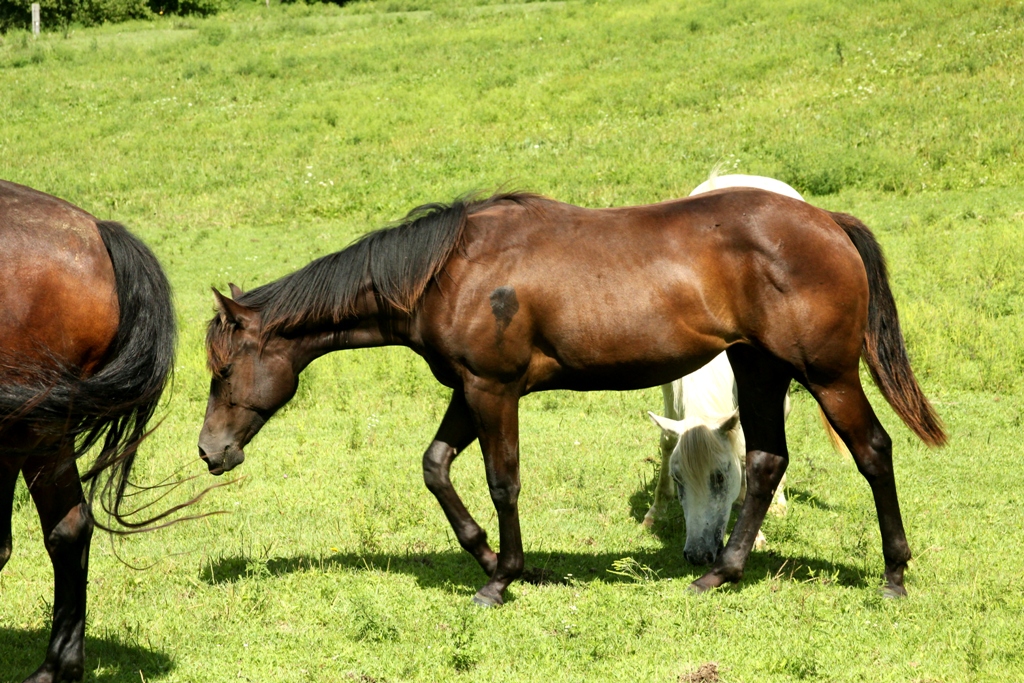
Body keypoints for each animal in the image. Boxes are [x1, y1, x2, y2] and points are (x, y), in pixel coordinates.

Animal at [198, 188, 945, 606]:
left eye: (224, 369)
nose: (210, 450)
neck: (451, 270)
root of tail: (826, 222)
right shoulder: (469, 389)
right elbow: (436, 467)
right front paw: (499, 562)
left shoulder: (493, 389)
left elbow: (503, 482)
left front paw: (502, 579)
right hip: (759, 367)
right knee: (764, 461)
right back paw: (721, 574)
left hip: (826, 375)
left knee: (873, 451)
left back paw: (894, 575)